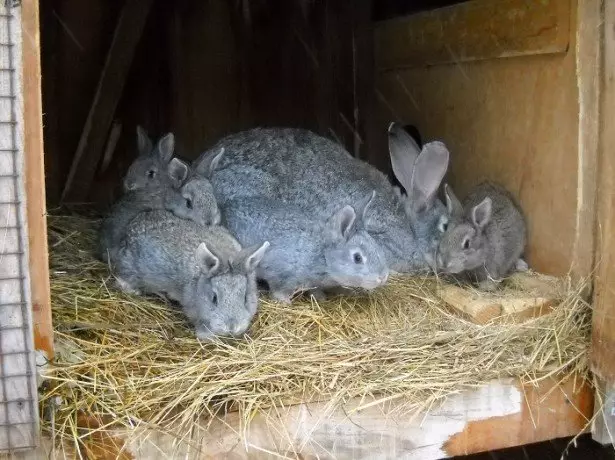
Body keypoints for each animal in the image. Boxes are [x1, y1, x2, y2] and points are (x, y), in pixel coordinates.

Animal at [112, 210, 270, 340]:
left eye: (245, 298)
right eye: (214, 298)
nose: (231, 327)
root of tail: (132, 225)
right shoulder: (193, 309)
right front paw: (207, 337)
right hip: (132, 269)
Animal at [223, 191, 390, 304]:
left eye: (376, 246)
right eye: (357, 258)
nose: (383, 277)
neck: (323, 256)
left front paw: (320, 298)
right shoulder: (283, 275)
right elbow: (279, 290)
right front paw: (285, 302)